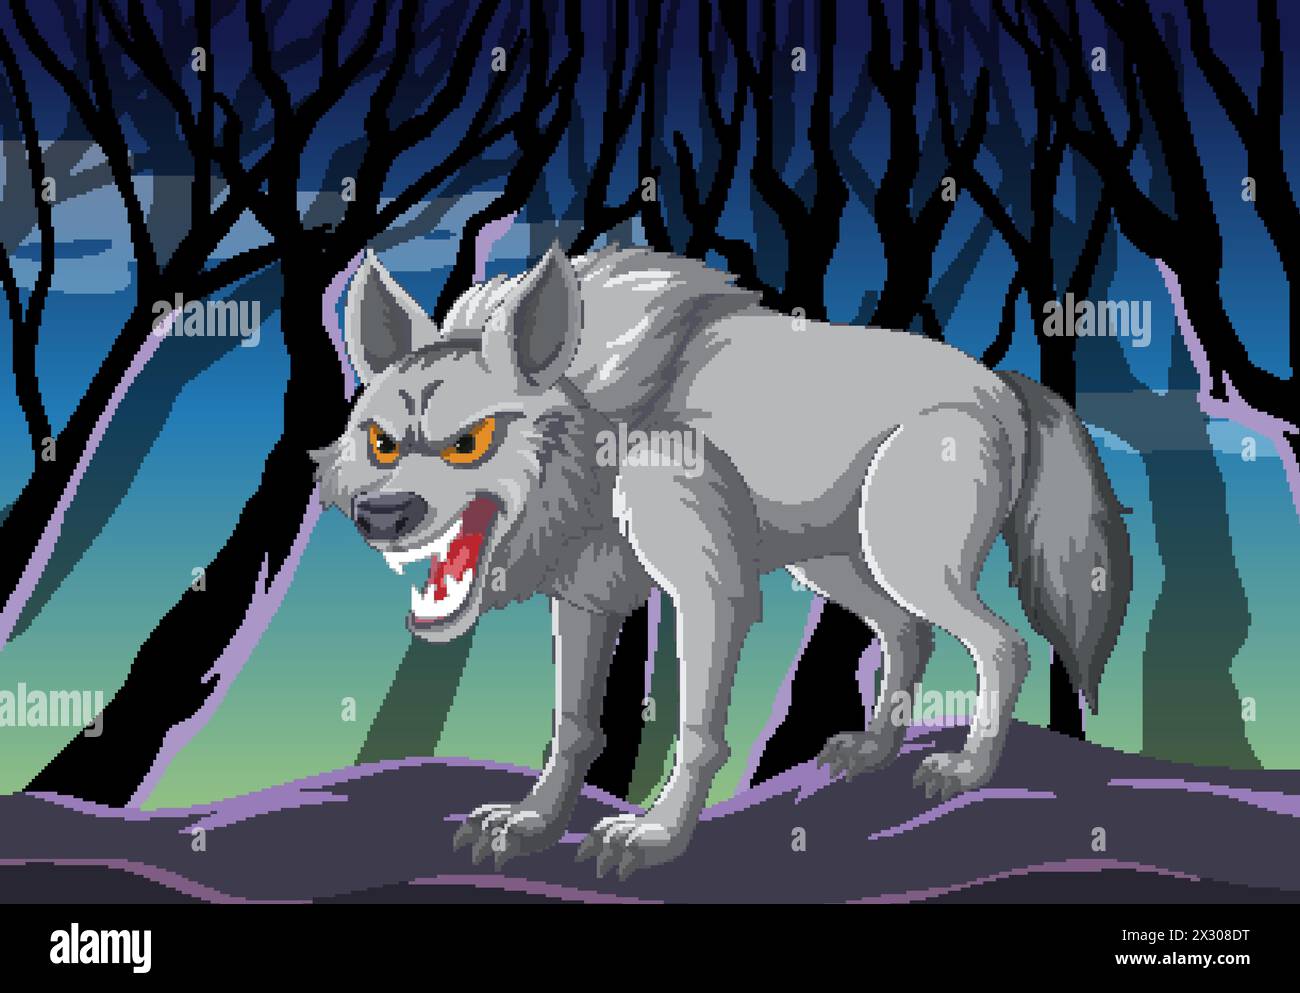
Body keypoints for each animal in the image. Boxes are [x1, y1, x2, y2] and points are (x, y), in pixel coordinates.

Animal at [312, 243, 1132, 880]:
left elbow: (699, 732)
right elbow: (573, 727)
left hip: (904, 562)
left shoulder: (709, 591)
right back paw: (873, 750)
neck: (603, 429)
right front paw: (529, 822)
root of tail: (1007, 383)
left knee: (1004, 645)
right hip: (839, 565)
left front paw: (653, 836)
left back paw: (965, 770)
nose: (381, 515)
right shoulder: (583, 599)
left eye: (469, 443)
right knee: (910, 634)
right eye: (380, 442)